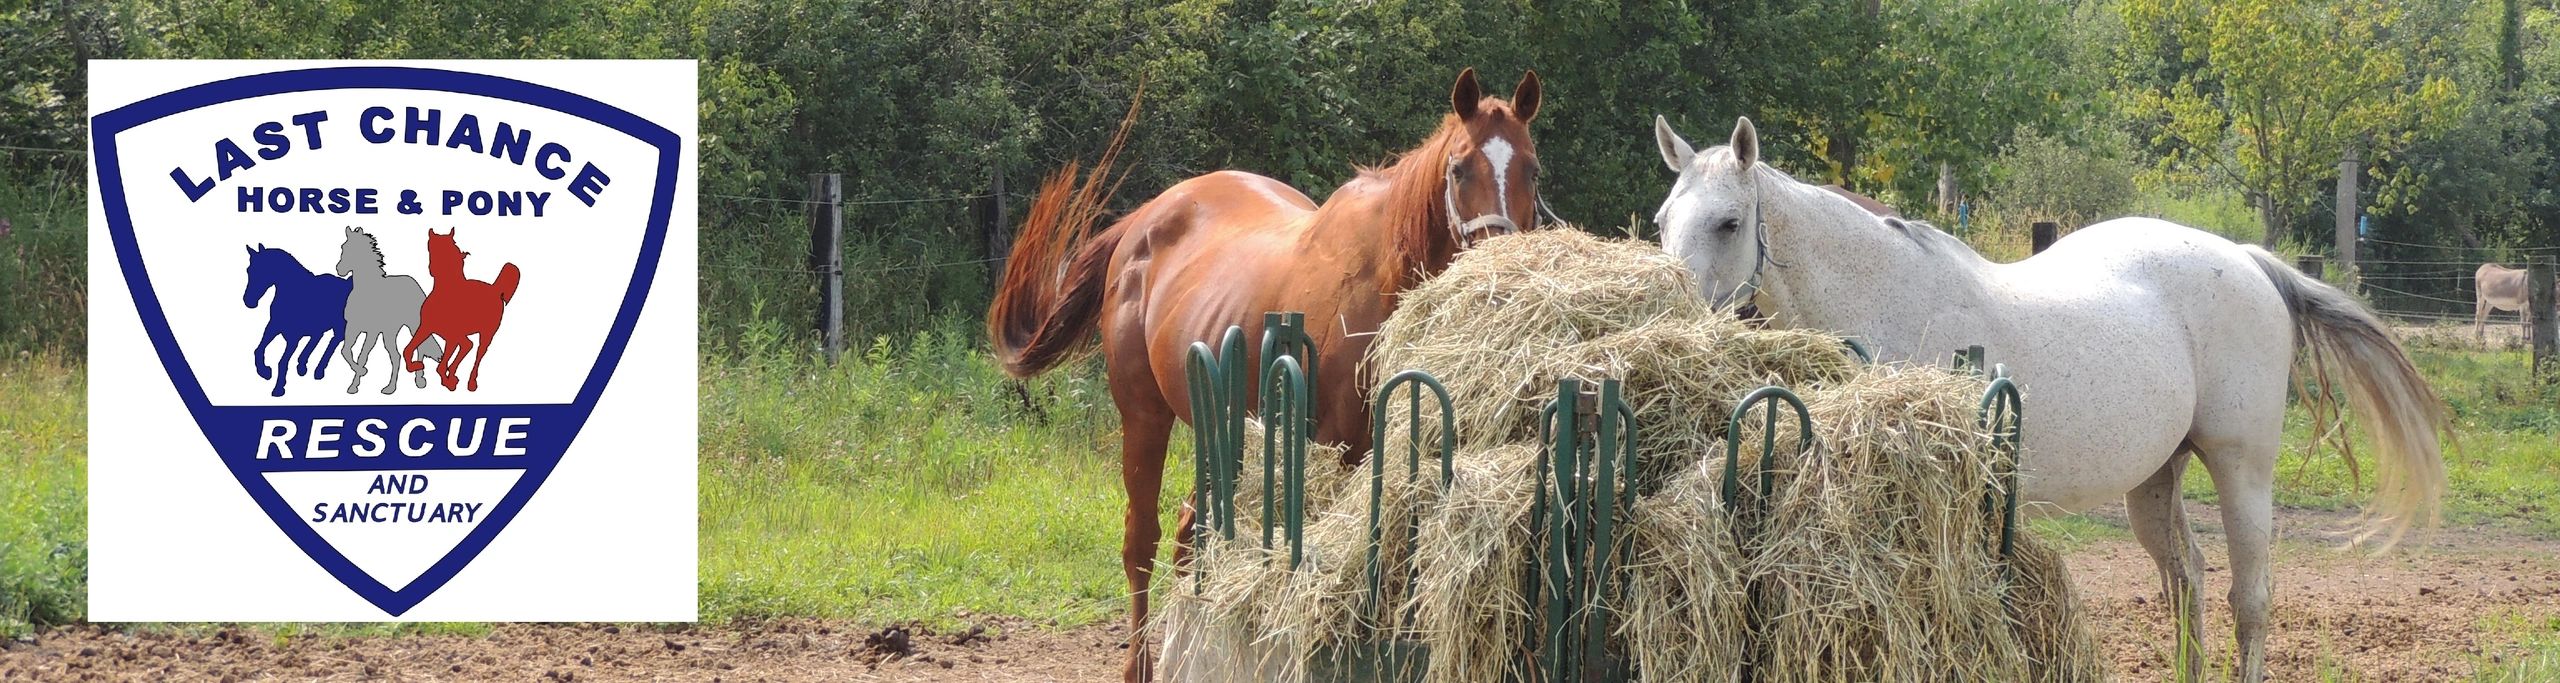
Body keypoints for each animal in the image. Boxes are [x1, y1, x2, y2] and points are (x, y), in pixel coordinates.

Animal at [243, 244, 351, 398]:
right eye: (249, 270)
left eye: (263, 271)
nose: (249, 301)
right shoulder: (274, 326)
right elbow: (258, 349)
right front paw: (265, 372)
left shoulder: (294, 337)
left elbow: (282, 362)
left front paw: (278, 388)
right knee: (317, 337)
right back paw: (302, 366)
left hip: (339, 325)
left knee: (334, 341)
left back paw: (318, 370)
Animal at [335, 227, 443, 394]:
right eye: (343, 247)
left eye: (353, 249)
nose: (339, 269)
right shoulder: (353, 327)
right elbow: (345, 351)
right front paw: (353, 385)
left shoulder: (372, 331)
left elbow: (362, 356)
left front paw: (361, 374)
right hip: (389, 332)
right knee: (396, 356)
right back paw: (390, 388)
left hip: (413, 324)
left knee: (419, 346)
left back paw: (419, 380)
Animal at [403, 228, 521, 392]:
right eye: (430, 247)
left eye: (449, 248)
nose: (433, 270)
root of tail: (495, 289)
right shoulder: (426, 328)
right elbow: (407, 350)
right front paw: (417, 366)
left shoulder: (453, 337)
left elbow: (441, 367)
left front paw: (448, 382)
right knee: (467, 346)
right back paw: (454, 375)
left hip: (486, 335)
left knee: (478, 353)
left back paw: (470, 383)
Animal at [988, 68, 1545, 682]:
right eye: (1459, 168)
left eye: (1532, 168)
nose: (1500, 263)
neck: (1379, 275)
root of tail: (1145, 220)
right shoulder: (1333, 451)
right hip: (1144, 418)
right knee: (1143, 542)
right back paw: (1141, 663)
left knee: (1188, 536)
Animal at [1650, 116, 2450, 683]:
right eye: (1663, 221)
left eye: (1728, 222)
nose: (1671, 311)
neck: (1887, 294)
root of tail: (2251, 261)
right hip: (2154, 479)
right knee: (2186, 579)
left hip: (2241, 469)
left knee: (2248, 599)